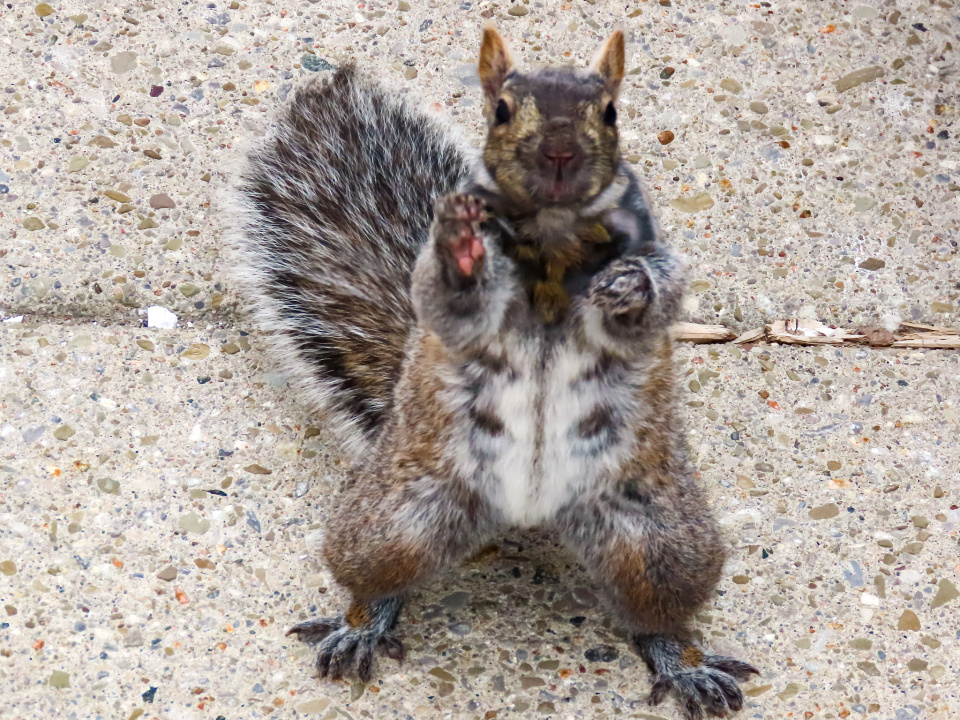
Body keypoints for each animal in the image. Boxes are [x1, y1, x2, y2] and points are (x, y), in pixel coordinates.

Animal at [228, 26, 758, 720]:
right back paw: (363, 625)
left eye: (609, 113)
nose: (556, 154)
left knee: (656, 611)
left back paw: (684, 661)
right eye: (503, 110)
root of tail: (528, 509)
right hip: (400, 517)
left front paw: (626, 288)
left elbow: (657, 283)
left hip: (656, 538)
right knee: (379, 575)